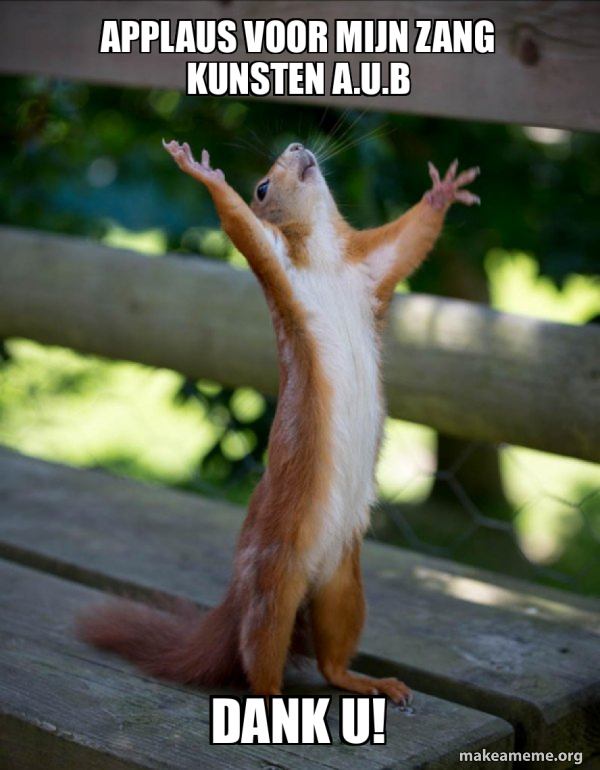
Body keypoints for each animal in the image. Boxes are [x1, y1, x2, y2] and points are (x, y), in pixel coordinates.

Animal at [77, 138, 479, 704]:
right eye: (262, 187)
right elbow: (240, 226)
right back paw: (276, 699)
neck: (327, 258)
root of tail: (238, 595)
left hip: (344, 585)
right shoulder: (277, 264)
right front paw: (203, 173)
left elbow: (410, 239)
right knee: (258, 659)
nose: (296, 146)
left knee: (332, 658)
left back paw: (367, 681)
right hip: (273, 583)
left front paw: (442, 192)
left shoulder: (372, 267)